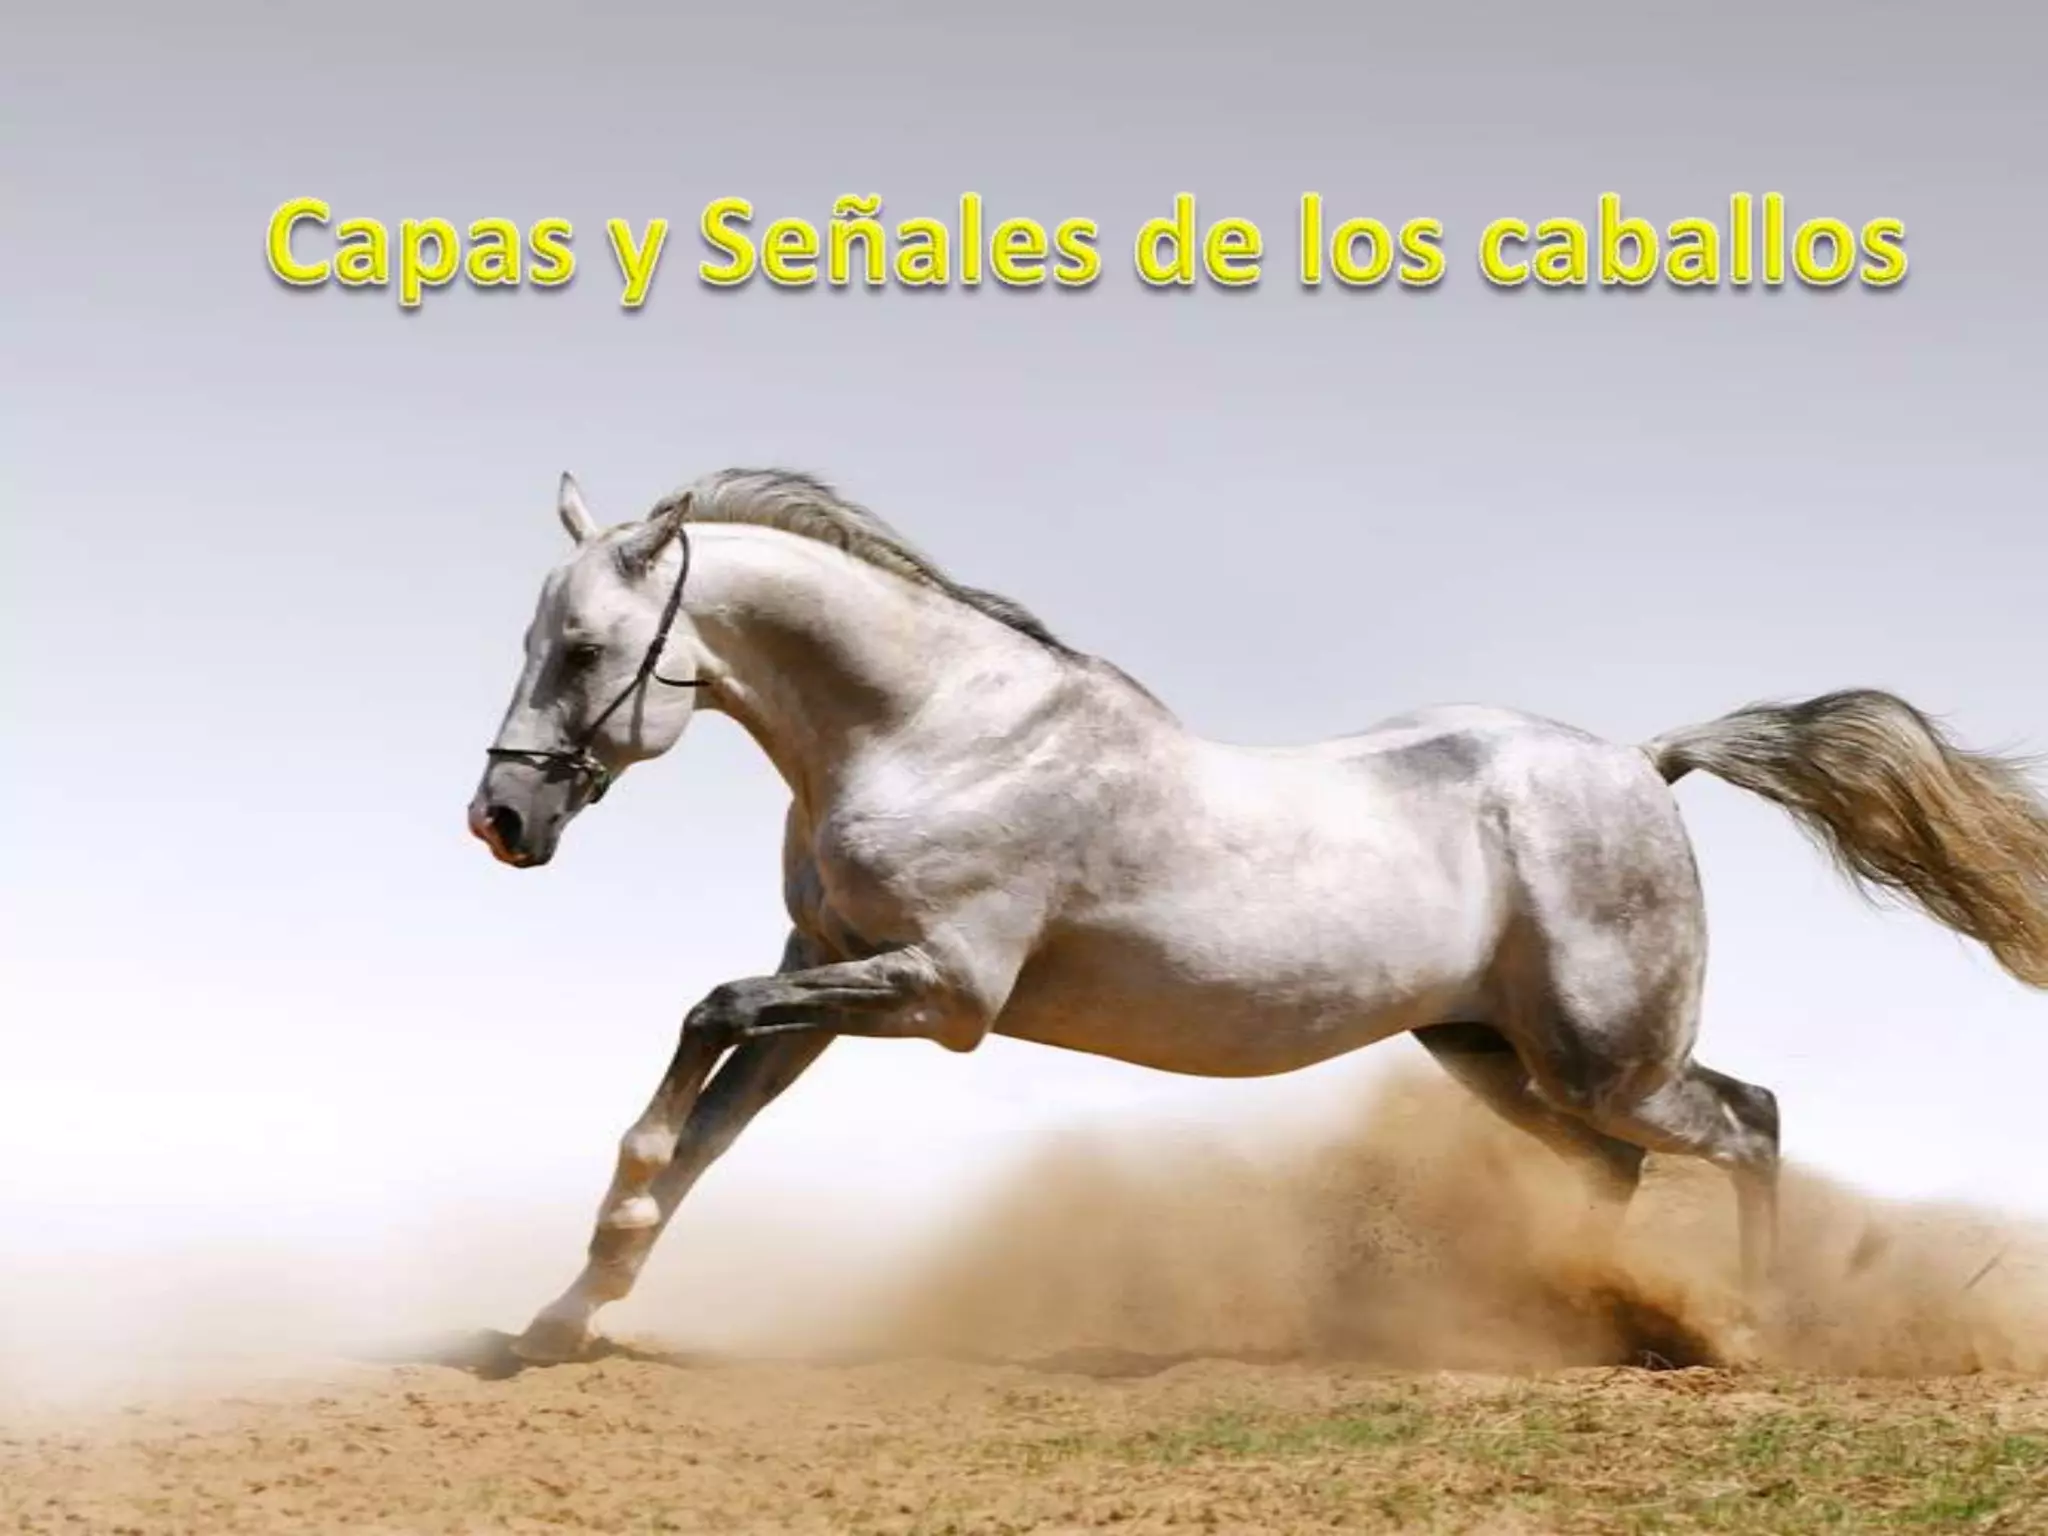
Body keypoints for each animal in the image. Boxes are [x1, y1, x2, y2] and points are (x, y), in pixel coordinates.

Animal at [468, 467, 2048, 1365]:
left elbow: (704, 1021)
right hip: (1491, 1054)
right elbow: (710, 1121)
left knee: (1751, 1122)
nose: (502, 821)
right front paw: (564, 1315)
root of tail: (1642, 764)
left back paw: (1750, 1332)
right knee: (1615, 1172)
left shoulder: (939, 993)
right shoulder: (835, 972)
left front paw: (588, 1268)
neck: (933, 730)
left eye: (587, 649)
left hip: (1610, 1055)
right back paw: (1597, 1321)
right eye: (535, 638)